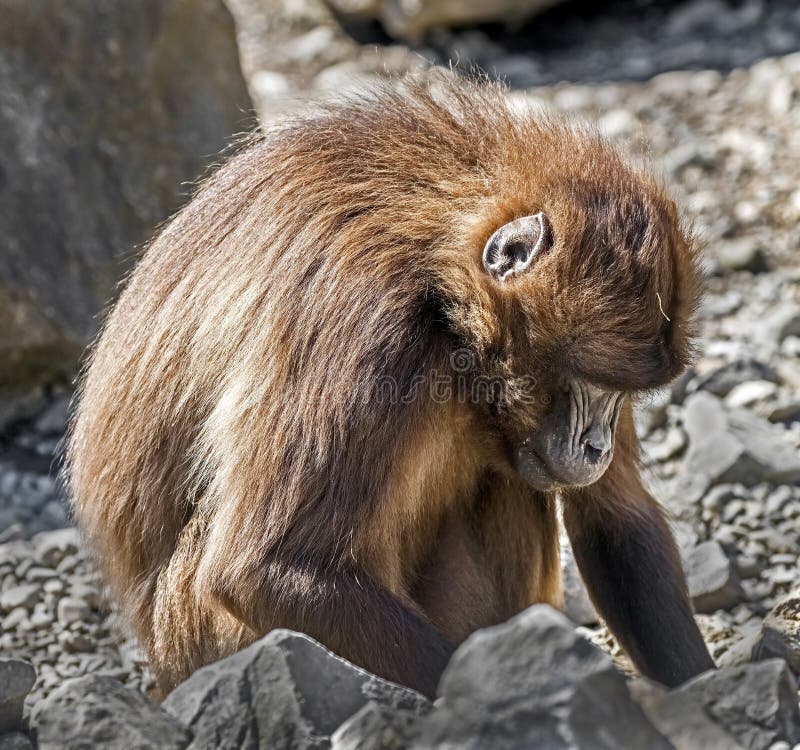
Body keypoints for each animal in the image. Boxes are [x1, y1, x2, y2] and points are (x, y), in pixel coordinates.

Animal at [68, 73, 715, 700]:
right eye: (587, 386)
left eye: (617, 395)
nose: (596, 446)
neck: (442, 294)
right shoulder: (364, 319)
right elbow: (268, 570)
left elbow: (616, 518)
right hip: (202, 638)